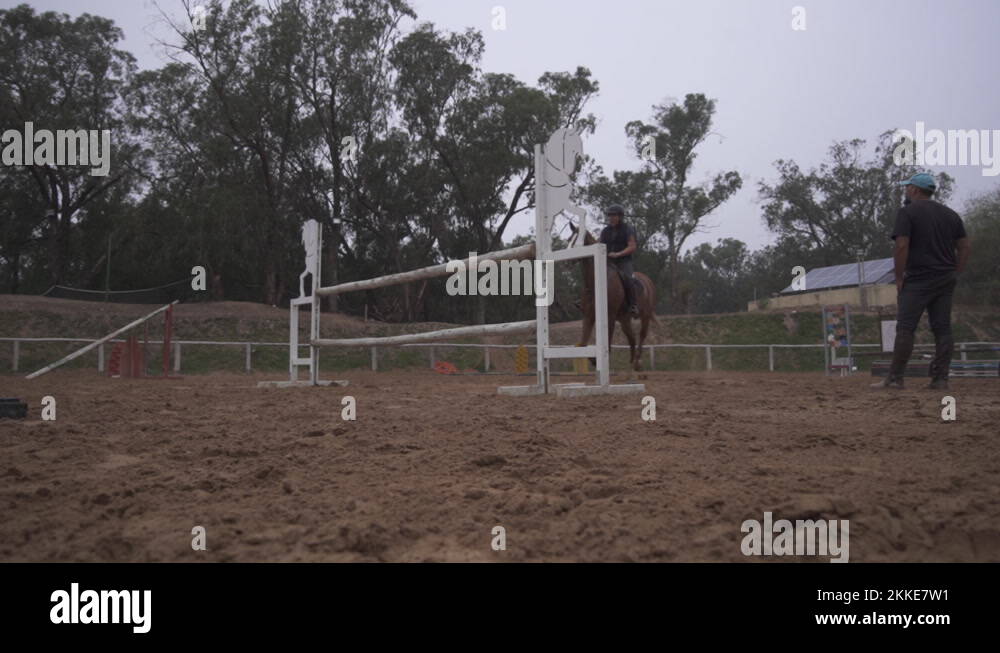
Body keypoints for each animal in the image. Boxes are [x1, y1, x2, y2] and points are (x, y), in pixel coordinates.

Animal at [573, 229, 657, 374]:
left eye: (578, 240)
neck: (595, 283)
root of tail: (648, 280)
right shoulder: (588, 315)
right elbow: (582, 343)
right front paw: (592, 359)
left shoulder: (610, 316)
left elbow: (607, 340)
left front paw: (597, 360)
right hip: (624, 320)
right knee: (632, 338)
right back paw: (631, 364)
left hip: (645, 316)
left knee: (641, 336)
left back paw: (637, 363)